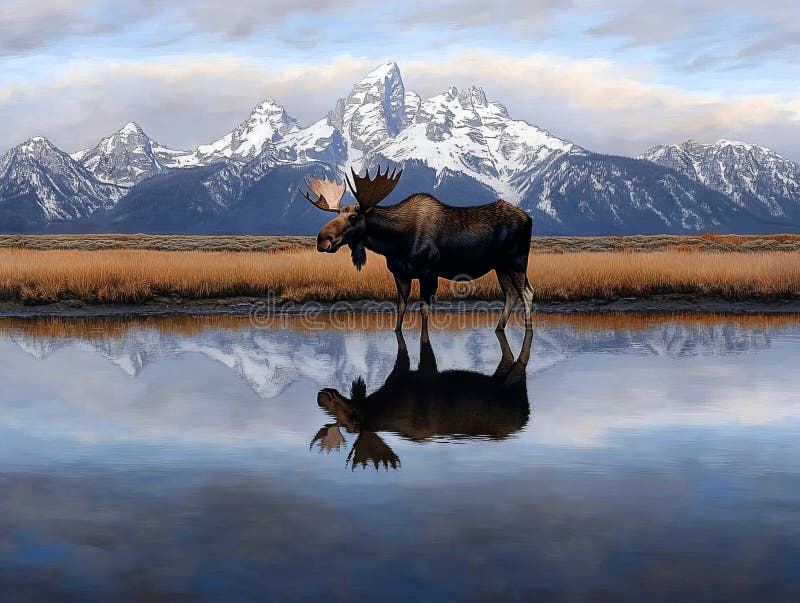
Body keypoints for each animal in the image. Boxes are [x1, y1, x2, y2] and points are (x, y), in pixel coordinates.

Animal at [299, 167, 534, 333]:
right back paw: (499, 328)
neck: (395, 243)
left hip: (517, 260)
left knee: (527, 292)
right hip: (500, 265)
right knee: (511, 293)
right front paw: (396, 331)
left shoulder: (428, 272)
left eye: (354, 217)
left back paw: (528, 329)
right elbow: (401, 307)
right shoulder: (400, 273)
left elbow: (424, 309)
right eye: (338, 213)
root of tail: (529, 219)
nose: (322, 240)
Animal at [311, 329, 533, 470]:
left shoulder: (425, 372)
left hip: (516, 380)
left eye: (350, 417)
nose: (322, 396)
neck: (388, 401)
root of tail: (526, 416)